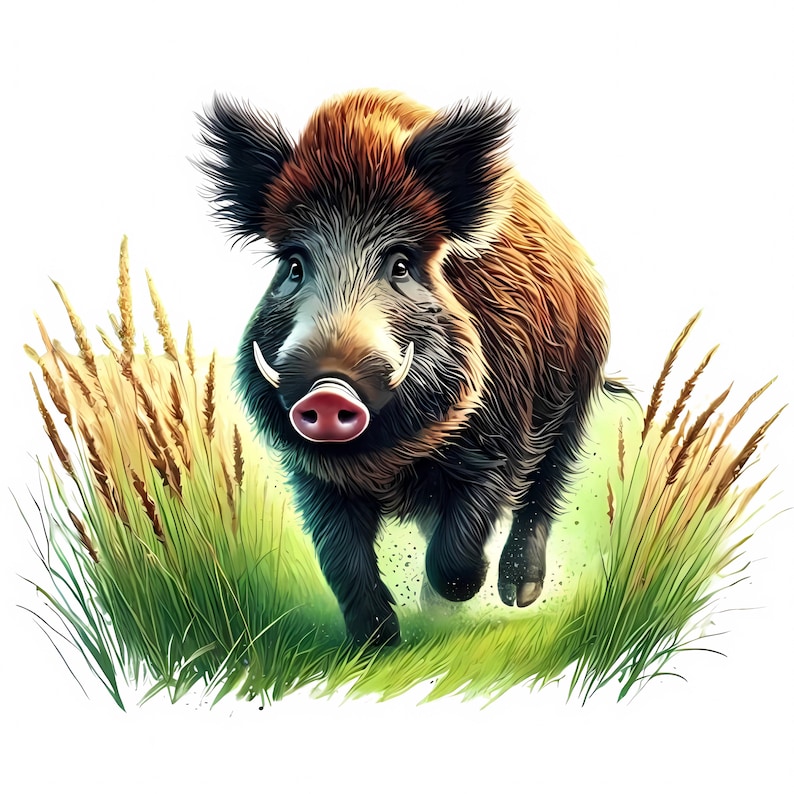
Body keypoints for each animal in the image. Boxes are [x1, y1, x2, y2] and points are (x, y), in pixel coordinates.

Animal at [196, 89, 622, 647]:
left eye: (400, 264)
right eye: (293, 265)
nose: (328, 391)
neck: (387, 461)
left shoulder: (500, 438)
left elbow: (460, 541)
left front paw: (459, 593)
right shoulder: (313, 475)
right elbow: (341, 558)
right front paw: (376, 644)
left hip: (573, 402)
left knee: (544, 488)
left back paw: (517, 595)